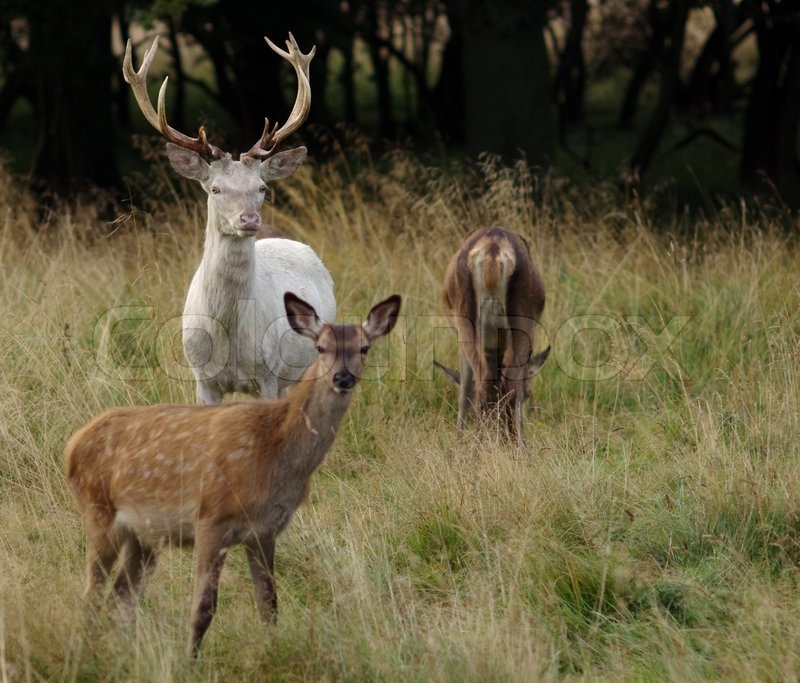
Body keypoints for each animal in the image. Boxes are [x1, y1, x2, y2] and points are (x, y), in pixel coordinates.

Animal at [65, 292, 402, 657]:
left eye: (364, 348)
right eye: (321, 347)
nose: (342, 378)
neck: (275, 453)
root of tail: (72, 445)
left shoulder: (265, 531)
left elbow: (269, 603)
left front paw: (271, 651)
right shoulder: (211, 519)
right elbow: (204, 607)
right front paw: (190, 659)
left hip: (145, 534)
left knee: (122, 596)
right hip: (99, 511)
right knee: (92, 595)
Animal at [122, 33, 336, 405]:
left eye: (262, 187)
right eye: (215, 188)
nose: (248, 220)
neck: (228, 339)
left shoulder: (268, 373)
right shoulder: (201, 378)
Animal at [437, 227, 549, 443]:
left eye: (531, 394)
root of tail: (493, 250)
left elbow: (466, 388)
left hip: (467, 319)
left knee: (486, 382)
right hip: (520, 323)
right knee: (505, 385)